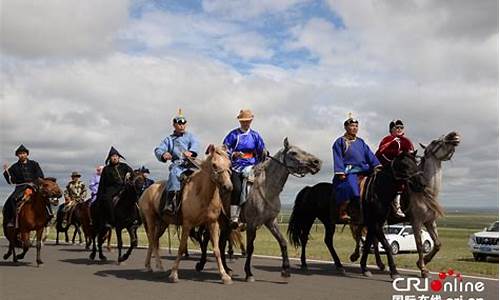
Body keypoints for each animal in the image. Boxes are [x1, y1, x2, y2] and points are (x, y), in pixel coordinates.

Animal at [138, 145, 233, 284]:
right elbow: (182, 247)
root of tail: (147, 190)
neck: (202, 193)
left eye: (229, 164)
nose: (228, 187)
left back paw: (154, 266)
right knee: (151, 240)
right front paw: (173, 274)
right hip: (150, 220)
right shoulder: (187, 224)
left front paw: (224, 275)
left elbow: (217, 250)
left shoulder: (213, 223)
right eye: (214, 165)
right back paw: (154, 266)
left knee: (154, 240)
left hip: (162, 223)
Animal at [406, 132, 460, 278]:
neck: (424, 193)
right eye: (435, 141)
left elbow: (437, 244)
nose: (454, 135)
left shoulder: (430, 222)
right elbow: (419, 245)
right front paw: (423, 269)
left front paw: (422, 262)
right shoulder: (416, 222)